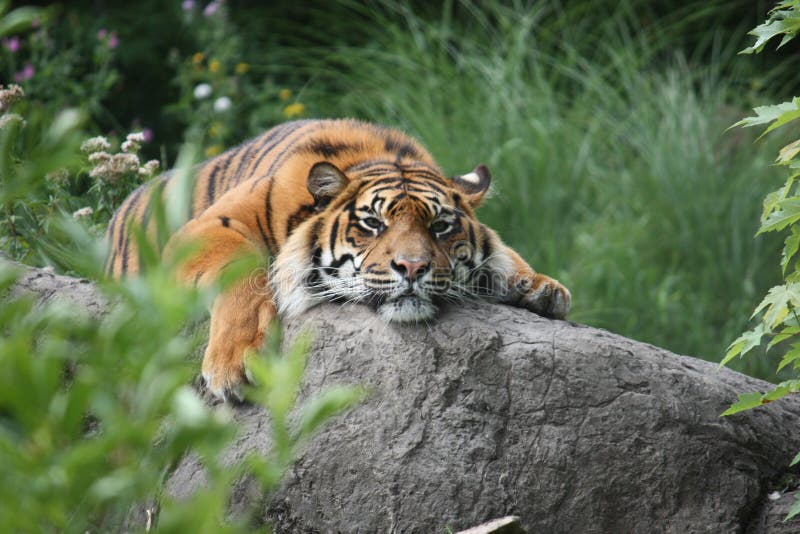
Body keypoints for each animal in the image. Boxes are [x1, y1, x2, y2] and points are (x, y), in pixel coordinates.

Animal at [106, 119, 571, 401]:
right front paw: (234, 363)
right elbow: (240, 274)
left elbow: (505, 251)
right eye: (372, 223)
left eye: (440, 226)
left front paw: (541, 287)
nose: (413, 268)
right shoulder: (210, 226)